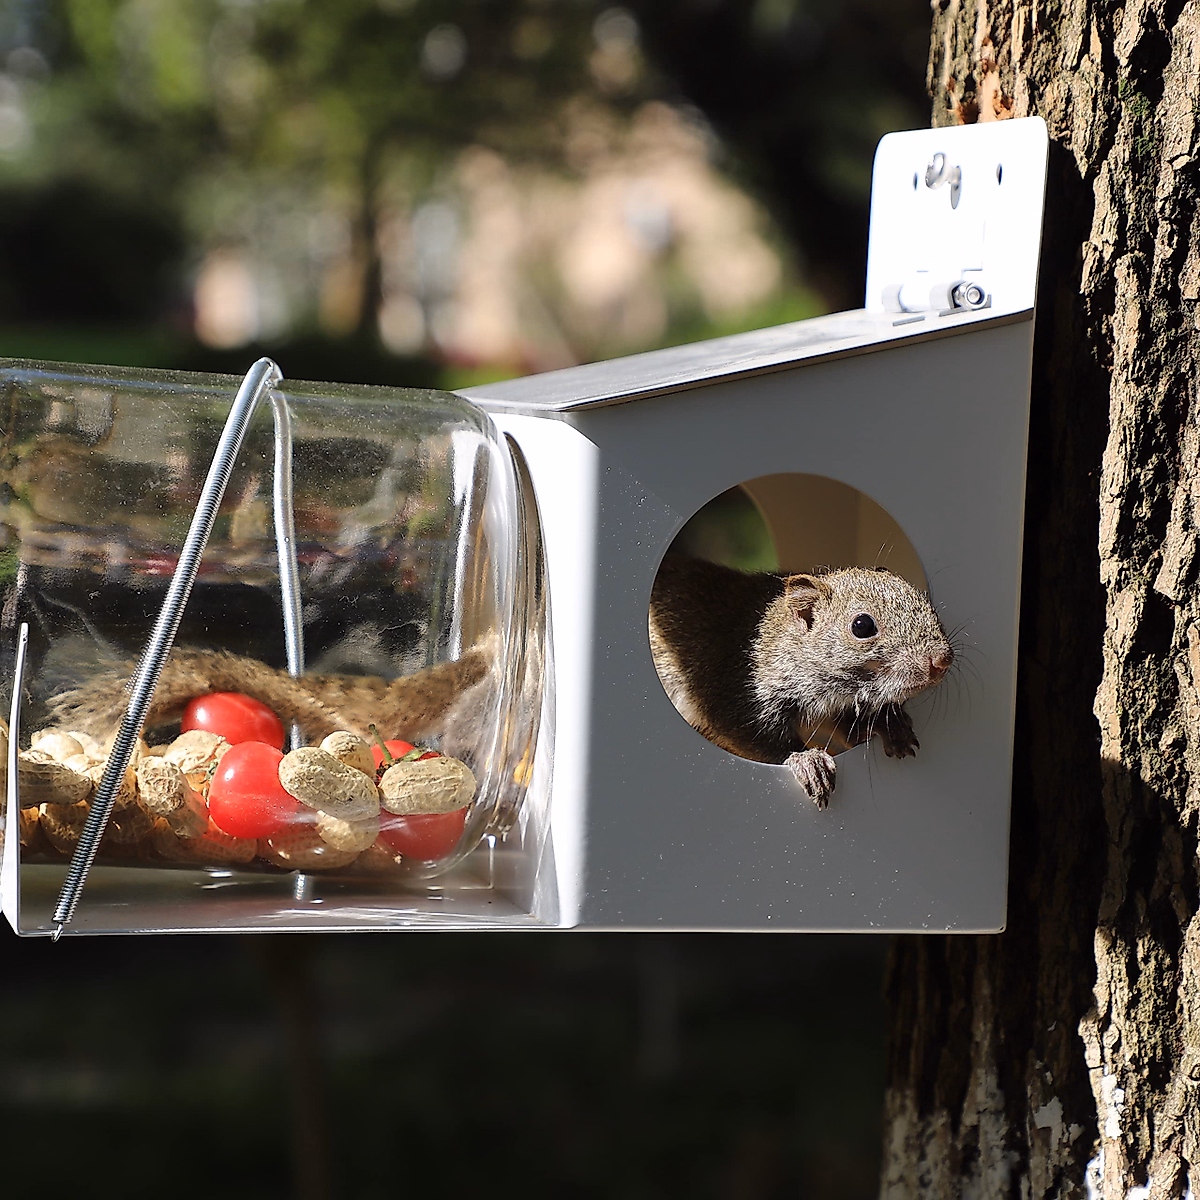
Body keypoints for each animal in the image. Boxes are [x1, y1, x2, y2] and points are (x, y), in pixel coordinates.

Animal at [648, 553, 954, 808]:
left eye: (926, 603)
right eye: (862, 625)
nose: (941, 660)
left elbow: (850, 729)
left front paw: (889, 725)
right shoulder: (733, 696)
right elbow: (761, 741)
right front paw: (809, 762)